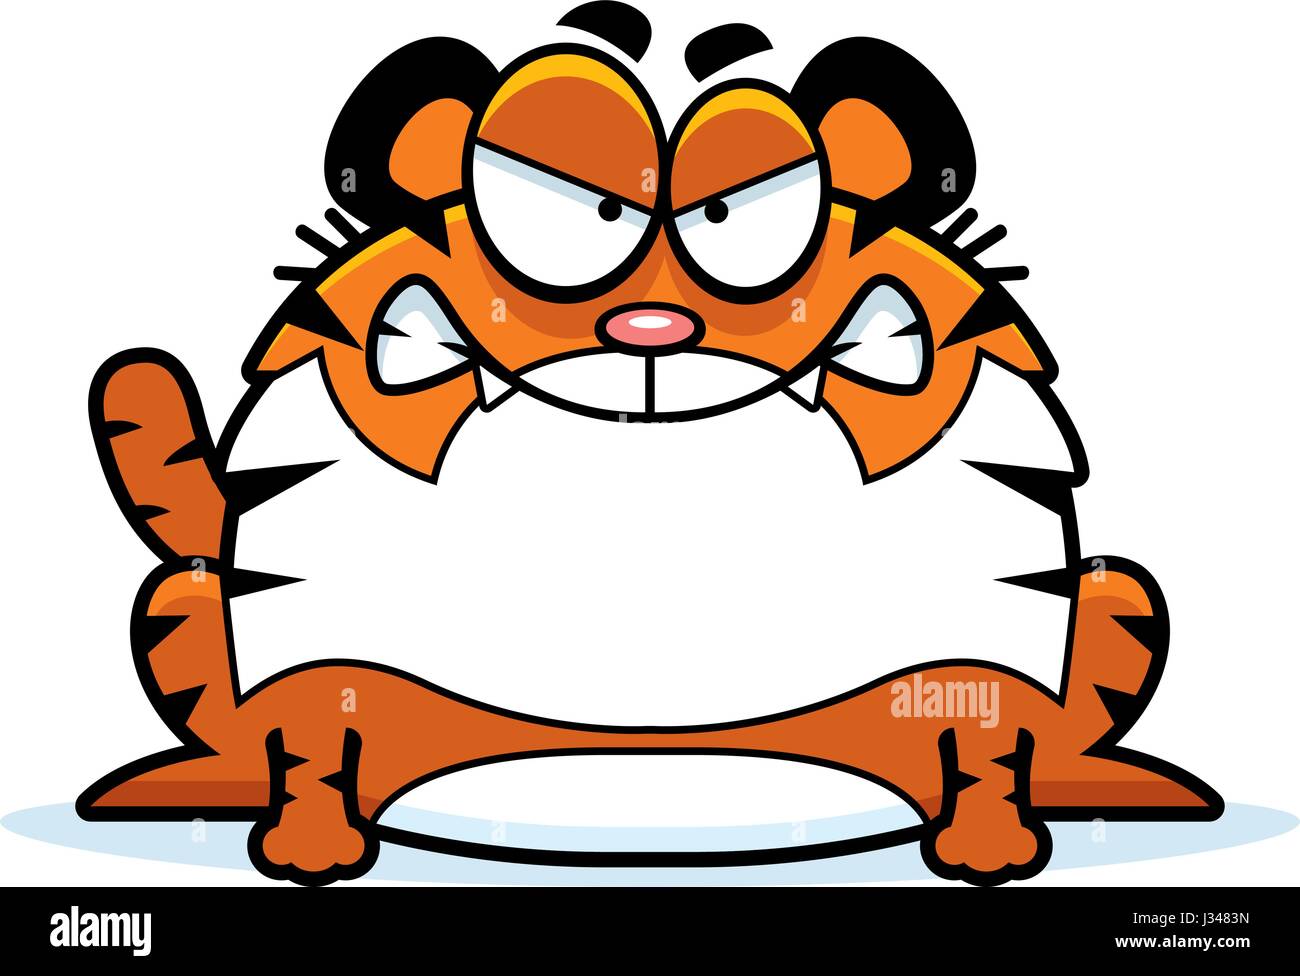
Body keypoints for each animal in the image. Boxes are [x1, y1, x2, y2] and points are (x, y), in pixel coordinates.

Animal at [81, 1, 1220, 885]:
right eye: (552, 198)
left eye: (739, 213)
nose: (651, 330)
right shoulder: (326, 675)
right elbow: (321, 730)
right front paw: (311, 841)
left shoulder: (966, 679)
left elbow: (977, 731)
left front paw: (988, 841)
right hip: (187, 607)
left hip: (1117, 596)